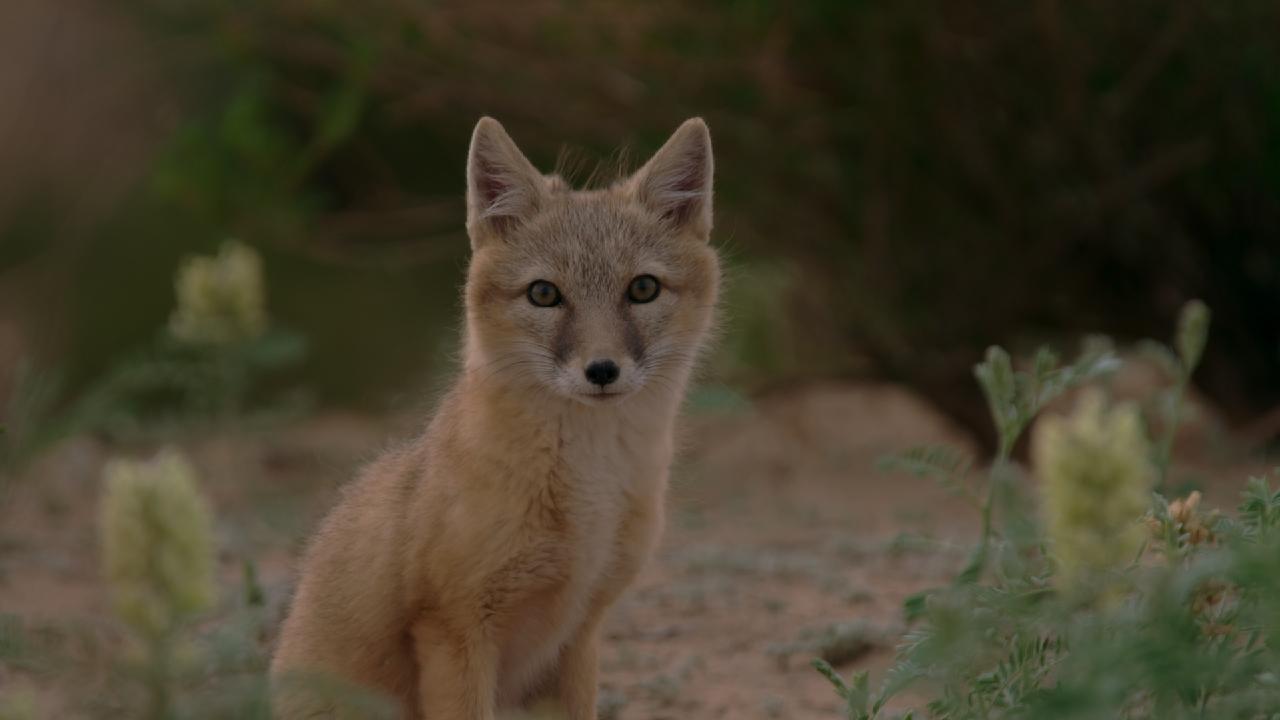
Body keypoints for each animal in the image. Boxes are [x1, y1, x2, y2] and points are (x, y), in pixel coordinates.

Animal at [270, 116, 721, 719]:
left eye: (643, 288)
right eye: (544, 294)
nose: (602, 370)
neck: (591, 489)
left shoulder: (579, 634)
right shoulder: (454, 631)